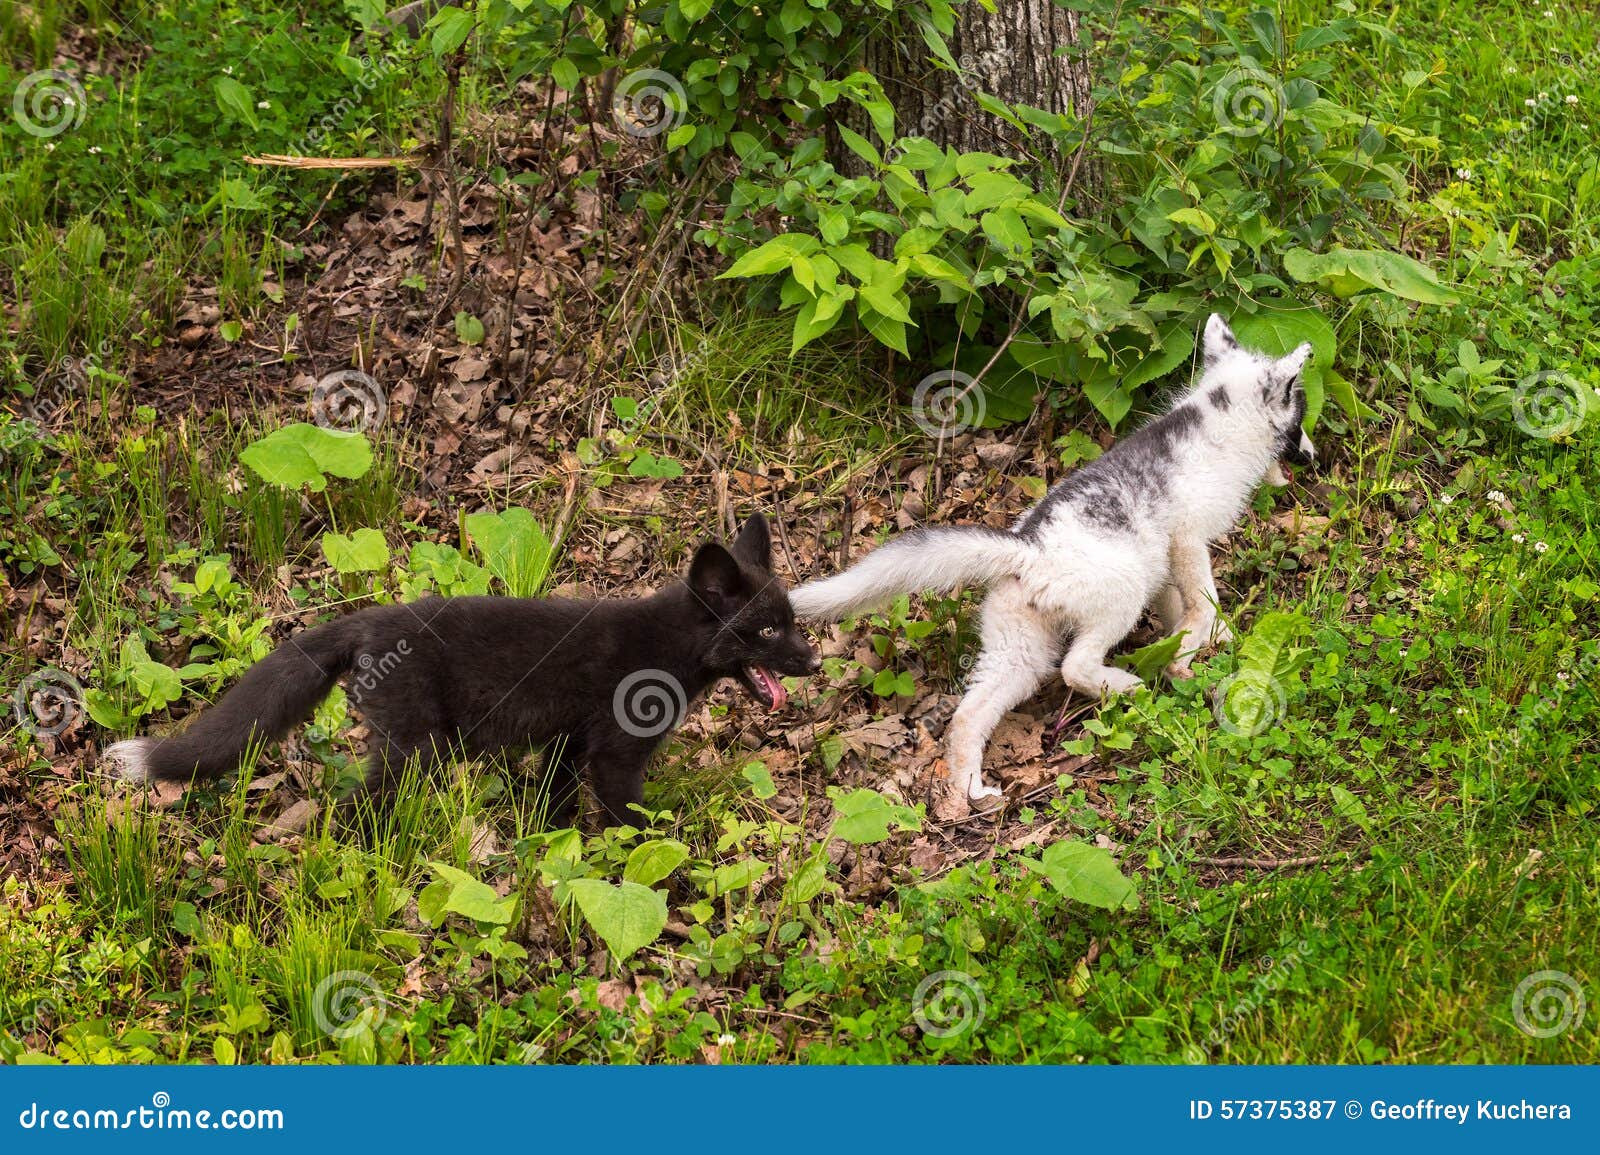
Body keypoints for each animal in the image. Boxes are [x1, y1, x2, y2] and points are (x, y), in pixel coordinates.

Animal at [104, 513, 819, 826]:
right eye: (765, 631)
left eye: (790, 619)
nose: (815, 659)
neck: (667, 648)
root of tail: (366, 621)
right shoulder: (615, 753)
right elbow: (632, 822)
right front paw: (650, 871)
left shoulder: (567, 741)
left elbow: (555, 806)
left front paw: (557, 856)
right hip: (416, 750)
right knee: (355, 809)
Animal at [789, 315, 1320, 807]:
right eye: (1300, 418)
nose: (1314, 457)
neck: (1217, 424)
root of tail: (1029, 547)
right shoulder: (1187, 540)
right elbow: (1203, 599)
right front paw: (1192, 646)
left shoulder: (1165, 563)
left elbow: (1178, 605)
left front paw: (1193, 646)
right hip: (1119, 599)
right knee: (1074, 667)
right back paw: (1124, 686)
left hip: (1018, 651)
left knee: (969, 714)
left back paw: (971, 789)